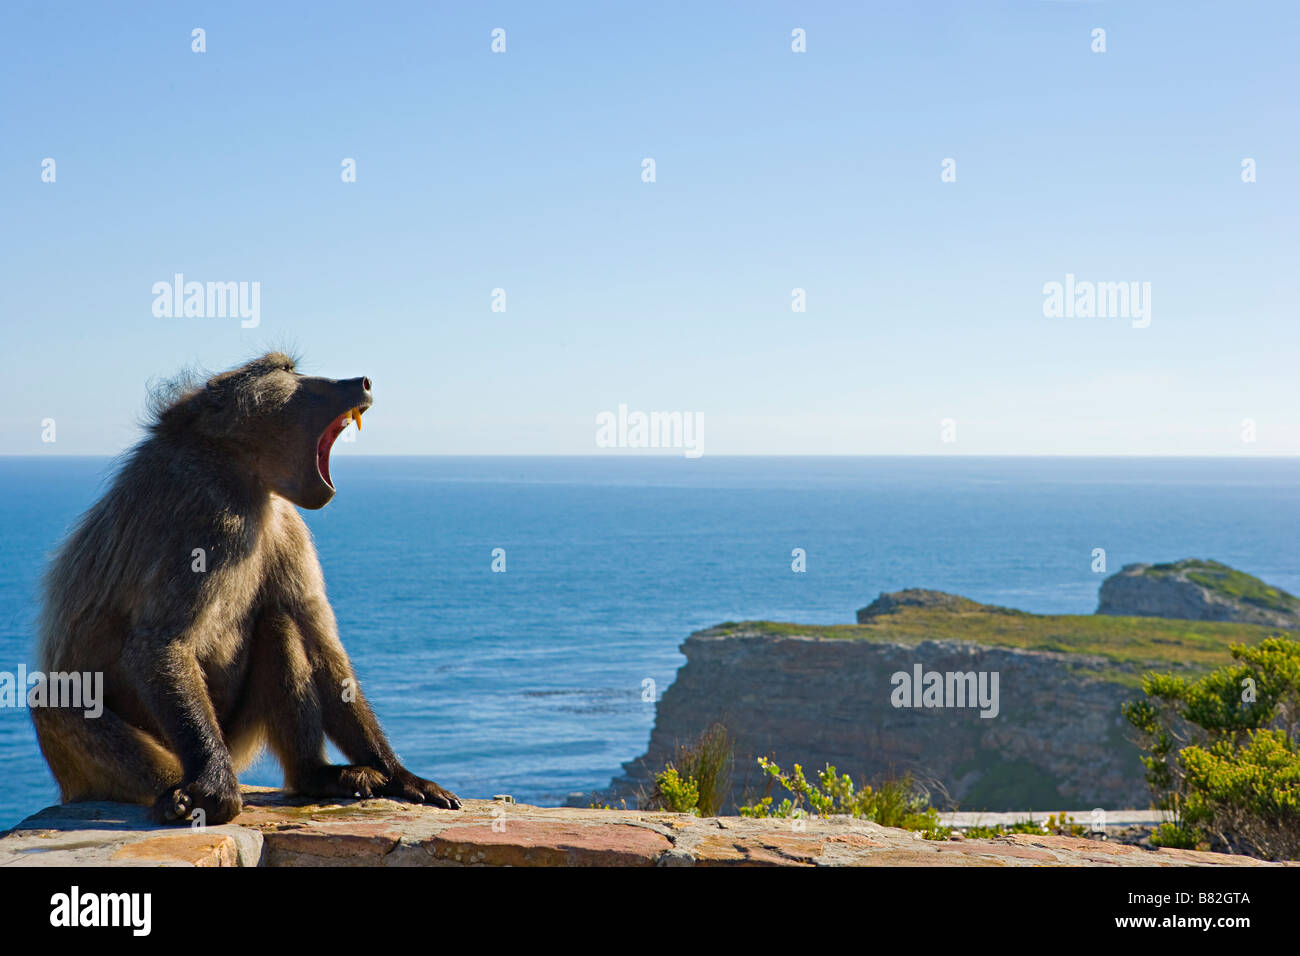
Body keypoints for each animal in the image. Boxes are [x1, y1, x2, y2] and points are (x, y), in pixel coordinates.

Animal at [31, 352, 461, 825]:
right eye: (287, 371)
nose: (362, 381)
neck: (232, 463)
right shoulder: (211, 517)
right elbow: (160, 643)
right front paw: (216, 789)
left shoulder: (286, 520)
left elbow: (320, 642)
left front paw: (402, 777)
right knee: (54, 697)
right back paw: (179, 797)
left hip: (236, 736)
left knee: (280, 624)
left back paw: (315, 776)